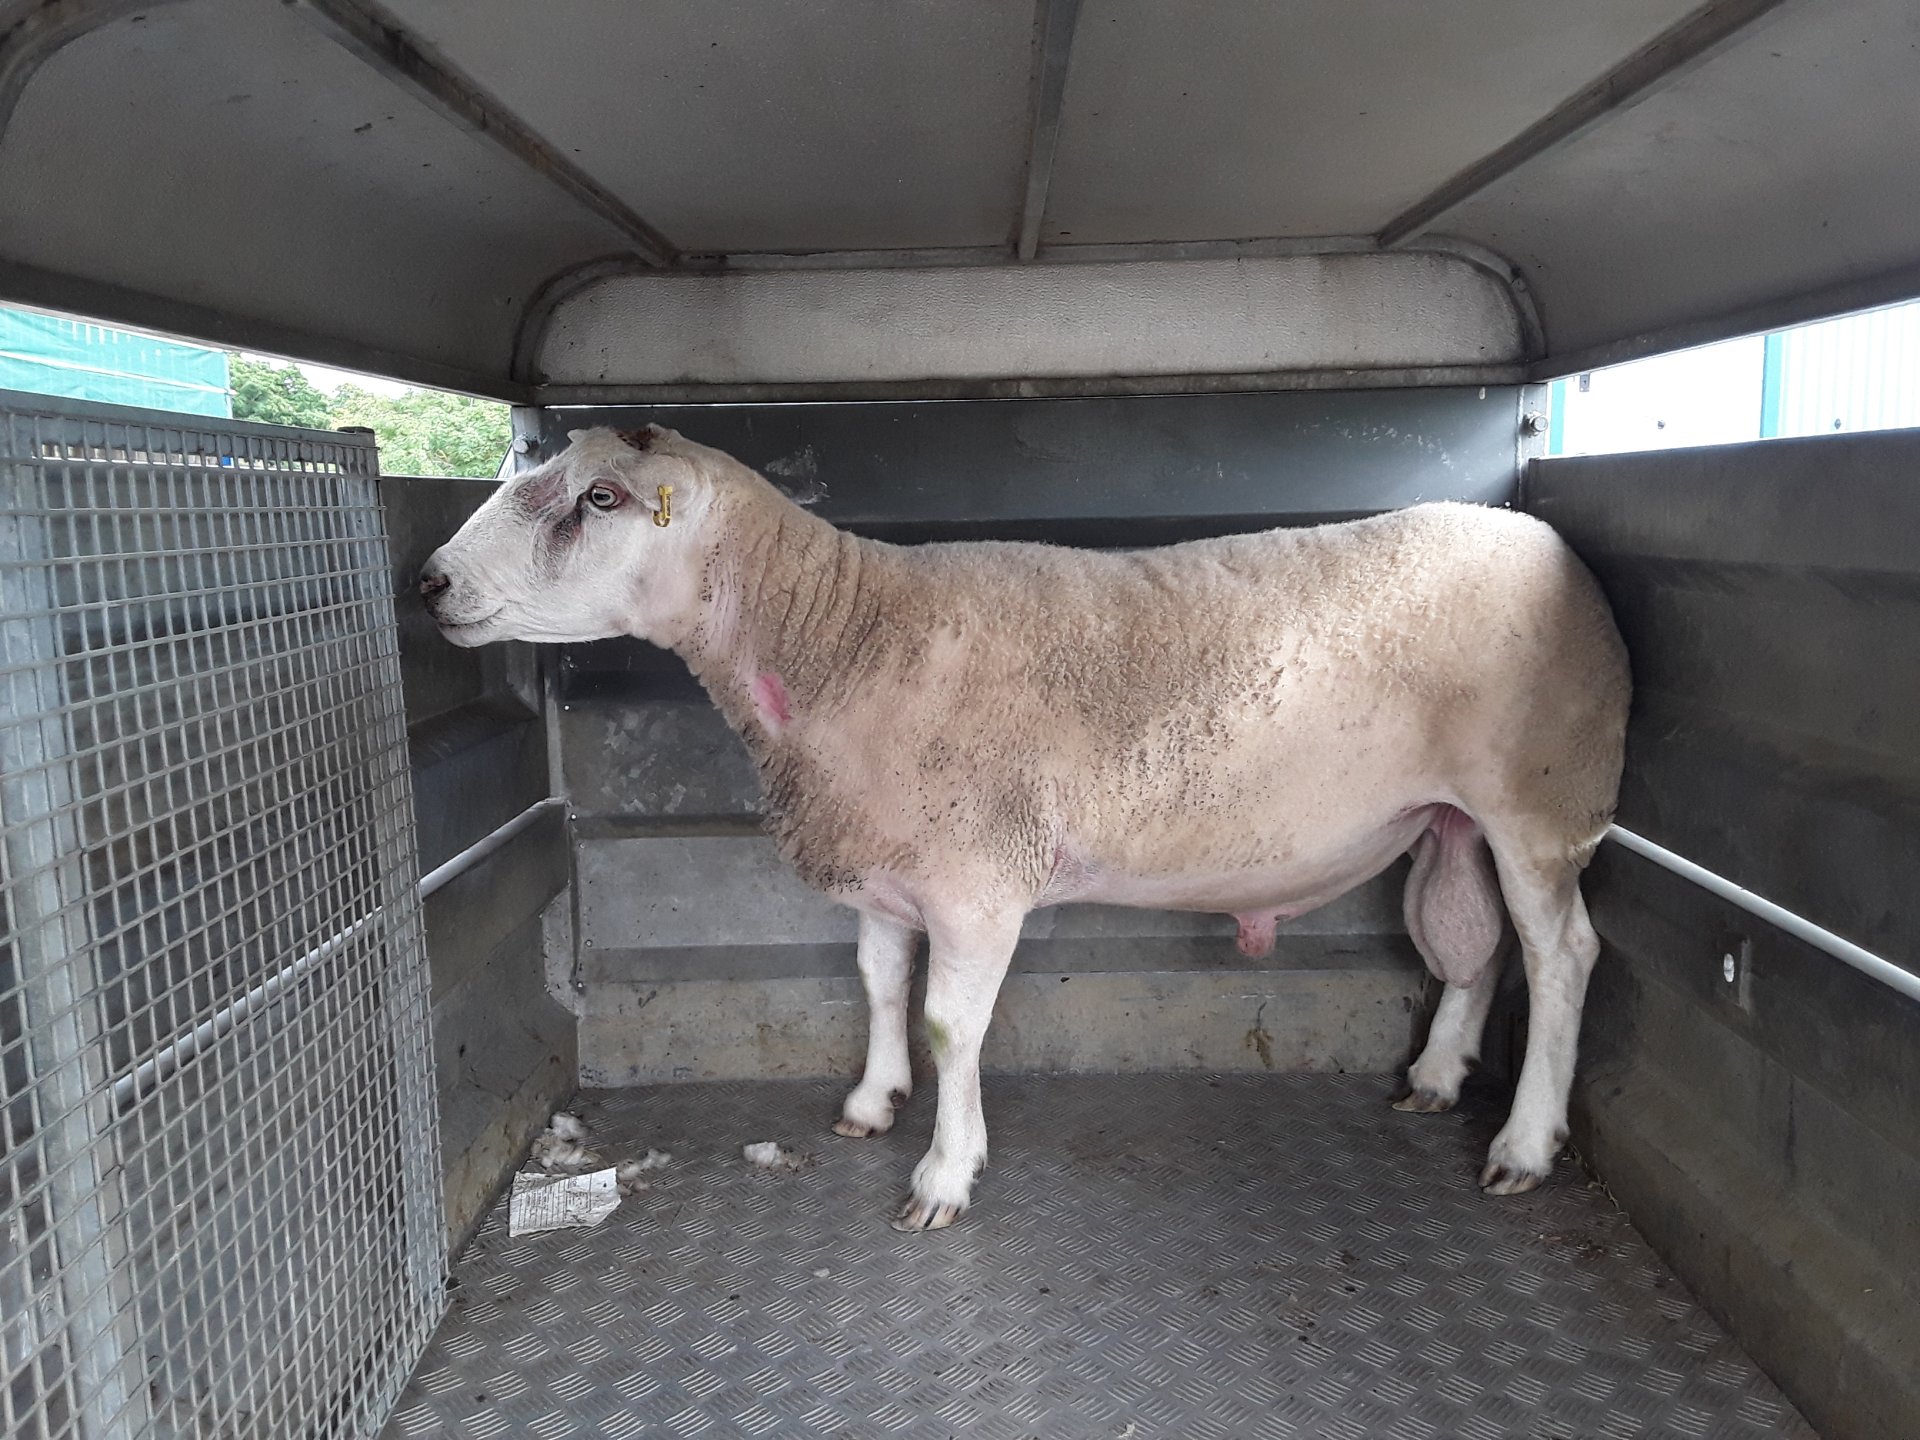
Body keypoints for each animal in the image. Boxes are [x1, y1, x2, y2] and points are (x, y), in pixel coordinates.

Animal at [421, 425, 1630, 1230]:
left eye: (601, 498)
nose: (427, 581)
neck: (840, 637)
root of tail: (1549, 546)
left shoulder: (975, 878)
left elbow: (951, 1027)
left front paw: (944, 1175)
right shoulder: (887, 861)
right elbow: (877, 984)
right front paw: (871, 1102)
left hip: (1544, 802)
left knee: (1562, 956)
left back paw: (1523, 1141)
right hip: (1451, 818)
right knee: (1474, 947)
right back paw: (1439, 1074)